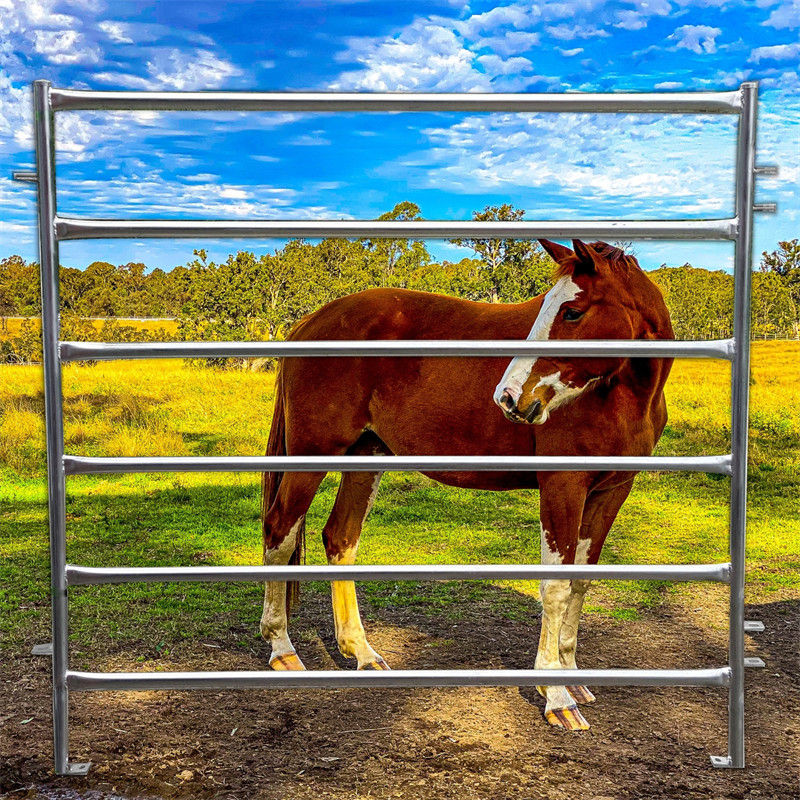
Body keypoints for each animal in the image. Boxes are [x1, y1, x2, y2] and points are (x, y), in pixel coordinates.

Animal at [259, 238, 674, 731]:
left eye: (572, 311)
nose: (508, 398)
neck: (620, 396)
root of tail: (313, 319)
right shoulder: (563, 487)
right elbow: (555, 588)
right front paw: (556, 696)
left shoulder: (611, 492)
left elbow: (579, 586)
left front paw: (573, 681)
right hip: (312, 456)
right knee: (280, 531)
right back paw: (282, 649)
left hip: (366, 456)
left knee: (341, 538)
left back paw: (362, 652)